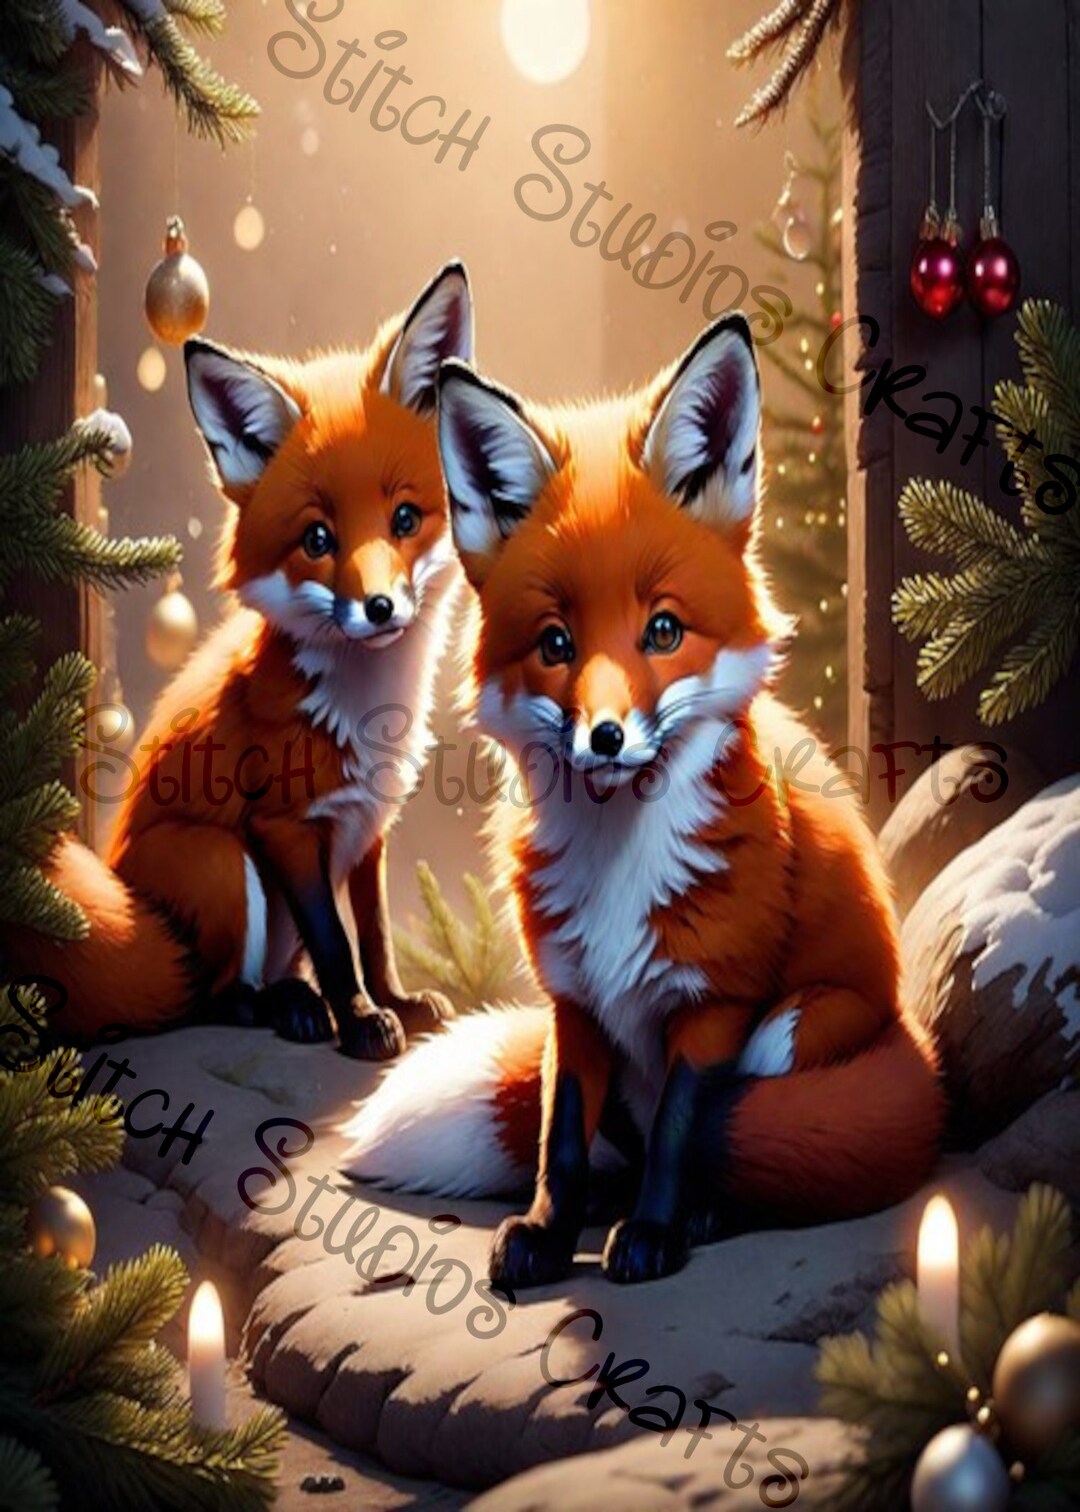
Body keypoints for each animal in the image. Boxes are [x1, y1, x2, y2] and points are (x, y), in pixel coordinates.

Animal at [4, 262, 473, 1062]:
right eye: (317, 539)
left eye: (406, 519)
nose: (381, 608)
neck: (363, 709)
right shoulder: (286, 825)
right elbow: (337, 942)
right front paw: (361, 1021)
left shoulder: (371, 826)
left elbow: (376, 933)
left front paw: (397, 1003)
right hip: (221, 861)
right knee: (206, 996)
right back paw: (288, 1008)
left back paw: (294, 999)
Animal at [342, 311, 945, 1282]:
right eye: (555, 643)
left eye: (662, 630)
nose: (606, 737)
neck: (620, 864)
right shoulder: (575, 1001)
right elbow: (560, 1135)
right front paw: (551, 1230)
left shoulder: (717, 1004)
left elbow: (678, 1133)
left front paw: (656, 1231)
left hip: (801, 1023)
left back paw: (698, 1214)